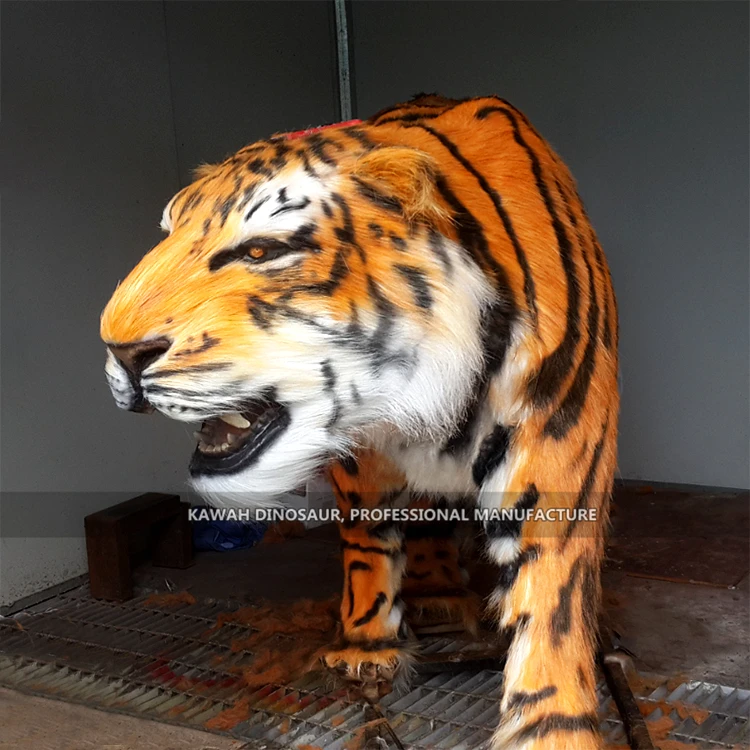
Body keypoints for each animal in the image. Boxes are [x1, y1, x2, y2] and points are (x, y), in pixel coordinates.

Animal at [100, 93, 619, 750]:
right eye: (166, 238)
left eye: (261, 251)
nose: (119, 352)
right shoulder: (363, 450)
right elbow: (370, 539)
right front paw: (366, 651)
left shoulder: (557, 433)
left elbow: (554, 593)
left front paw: (553, 726)